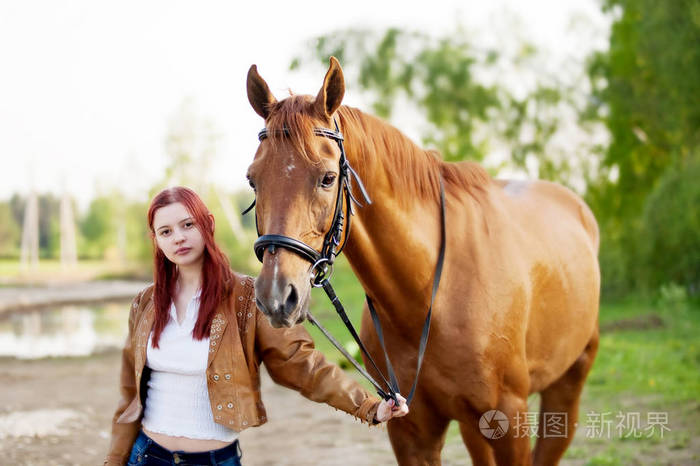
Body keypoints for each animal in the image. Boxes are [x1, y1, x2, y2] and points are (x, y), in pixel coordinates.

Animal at [243, 58, 600, 466]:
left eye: (328, 178)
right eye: (253, 181)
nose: (275, 296)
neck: (431, 295)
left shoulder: (512, 418)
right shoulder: (412, 432)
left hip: (567, 382)